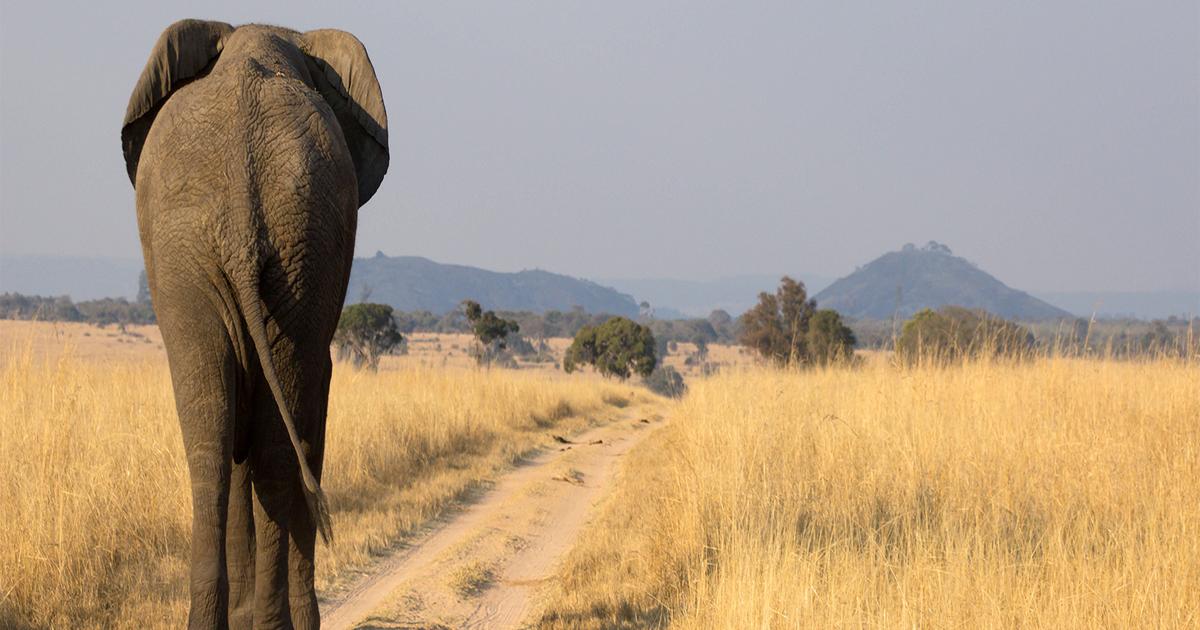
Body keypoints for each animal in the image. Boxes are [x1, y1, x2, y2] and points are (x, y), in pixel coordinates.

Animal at [120, 19, 388, 629]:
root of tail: (241, 213)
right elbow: (310, 407)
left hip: (217, 247)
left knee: (213, 433)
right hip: (275, 244)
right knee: (262, 441)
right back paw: (266, 621)